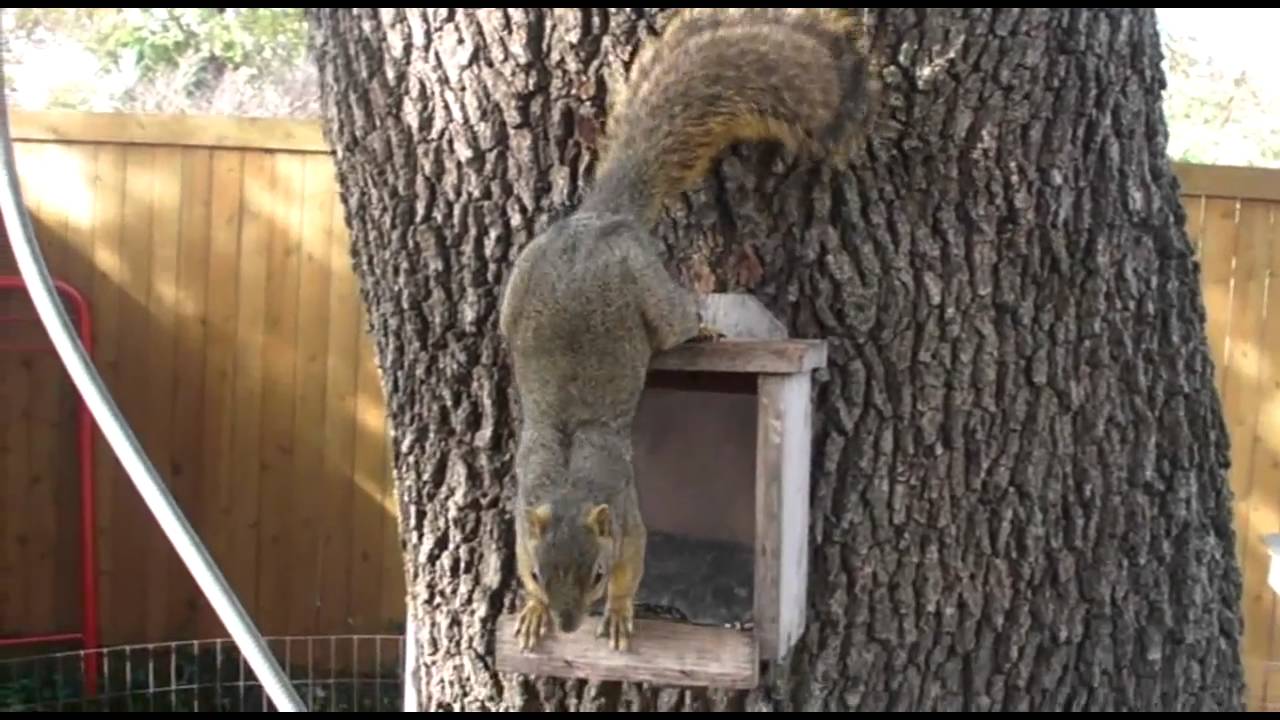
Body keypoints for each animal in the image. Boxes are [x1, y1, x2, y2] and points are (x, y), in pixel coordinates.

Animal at [498, 7, 877, 653]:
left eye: (595, 573)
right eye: (539, 573)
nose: (571, 625)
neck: (570, 485)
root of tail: (600, 220)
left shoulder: (628, 520)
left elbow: (635, 565)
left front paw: (619, 612)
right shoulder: (525, 528)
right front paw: (531, 612)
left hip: (653, 293)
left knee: (676, 322)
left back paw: (702, 333)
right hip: (519, 284)